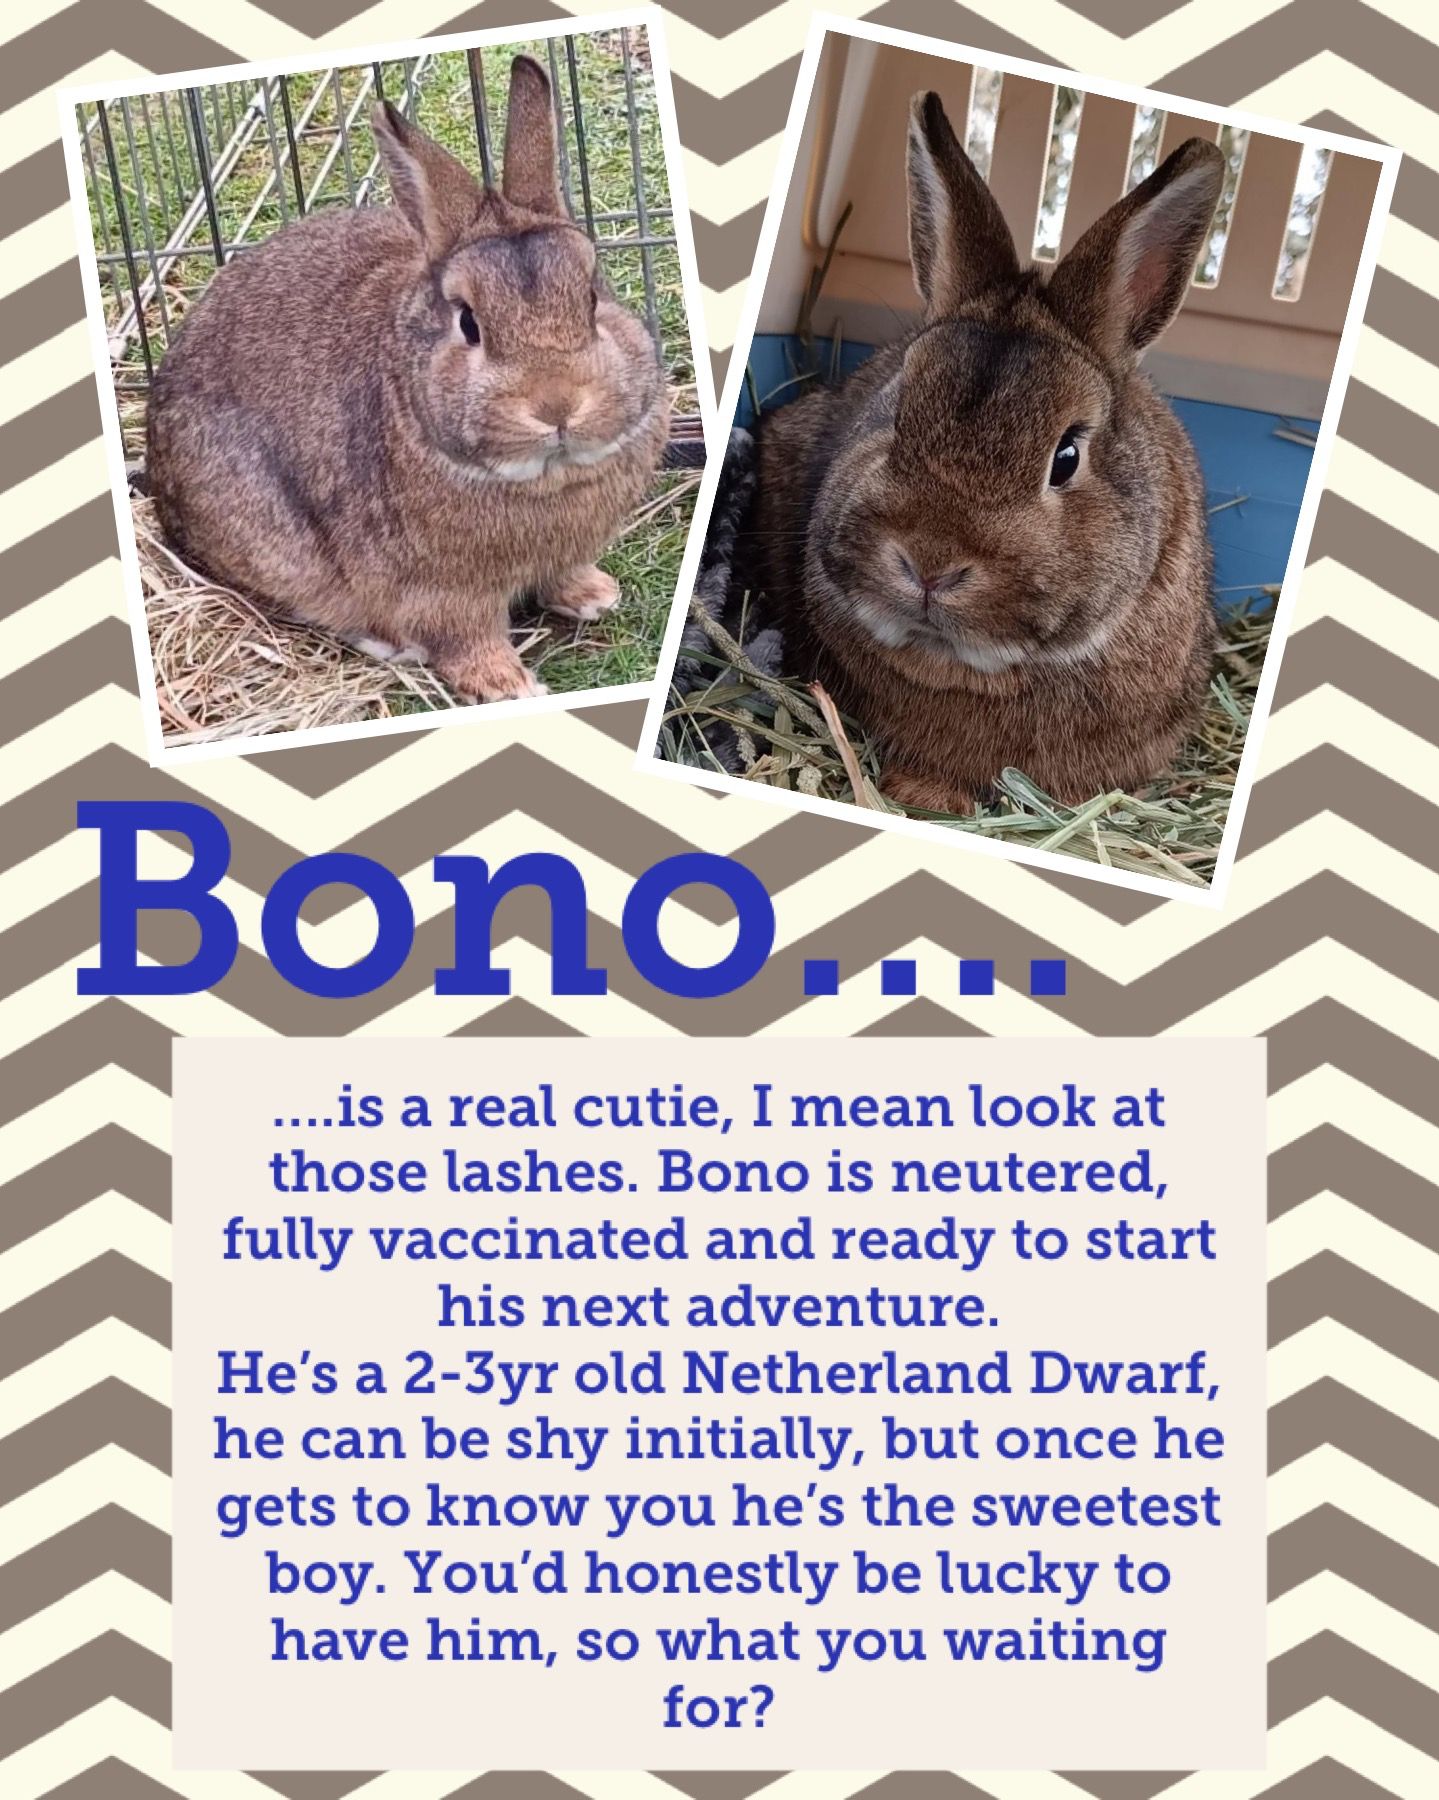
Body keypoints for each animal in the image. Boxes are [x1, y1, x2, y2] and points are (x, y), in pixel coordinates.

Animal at [146, 56, 669, 703]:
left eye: (592, 298)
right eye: (468, 323)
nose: (556, 405)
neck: (549, 476)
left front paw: (594, 596)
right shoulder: (441, 594)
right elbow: (464, 638)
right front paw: (508, 685)